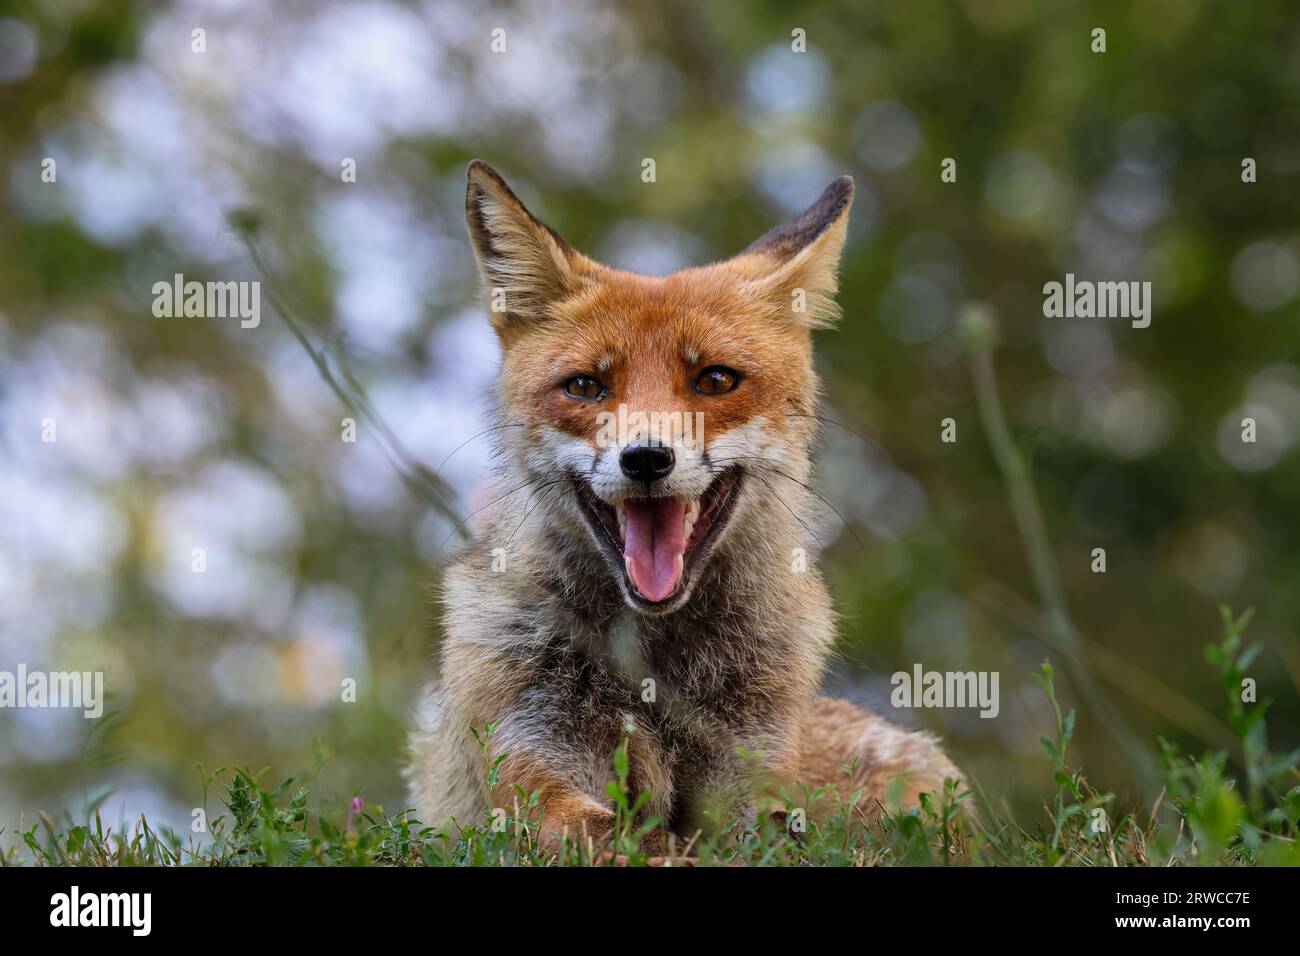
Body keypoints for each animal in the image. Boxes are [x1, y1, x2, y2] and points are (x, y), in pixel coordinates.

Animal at [405, 160, 960, 851]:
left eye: (715, 380)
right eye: (585, 386)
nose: (646, 459)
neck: (654, 668)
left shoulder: (751, 776)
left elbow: (765, 834)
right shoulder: (533, 762)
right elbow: (607, 832)